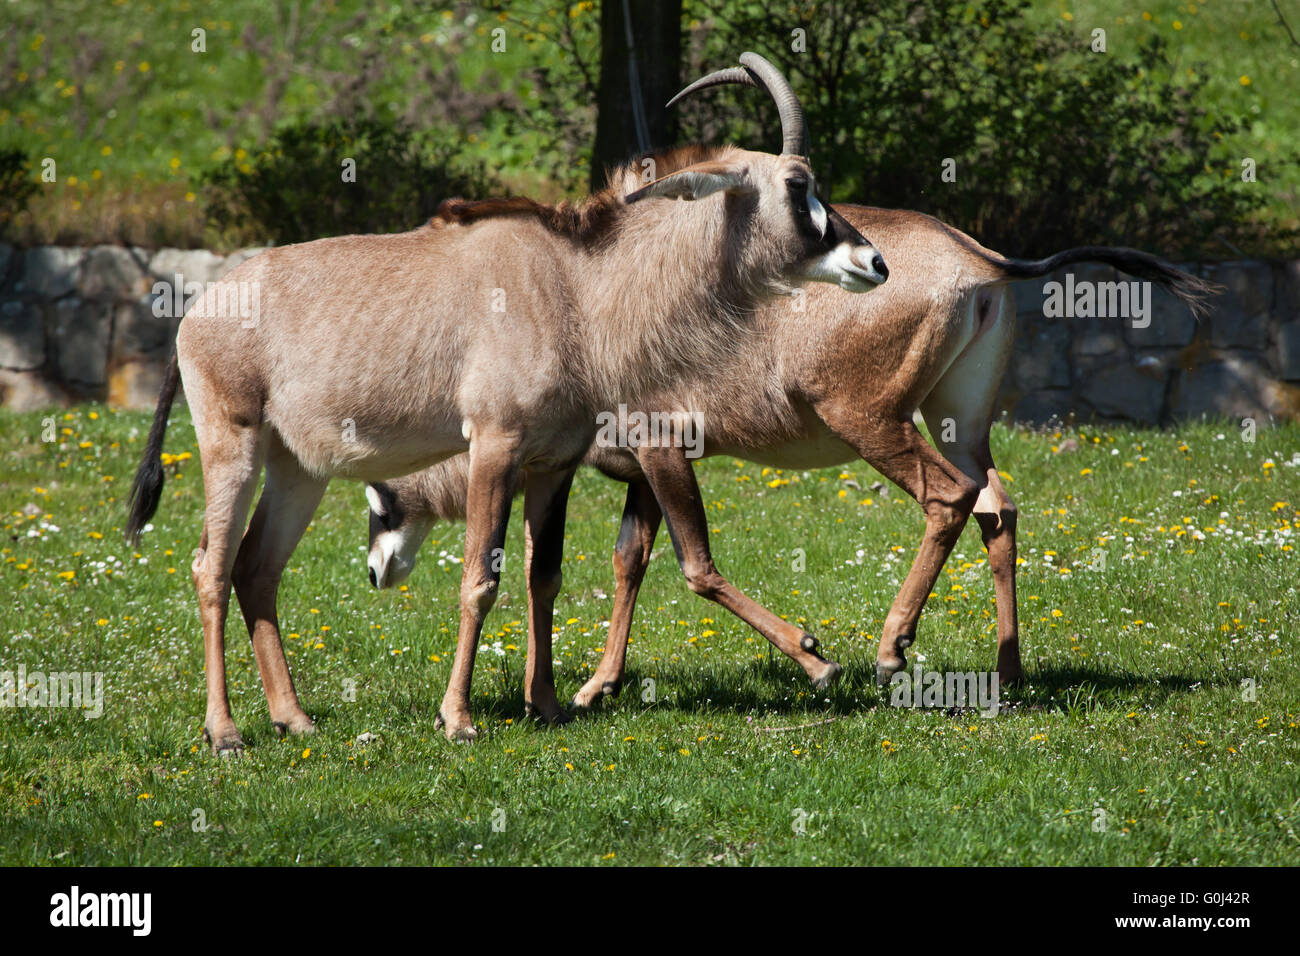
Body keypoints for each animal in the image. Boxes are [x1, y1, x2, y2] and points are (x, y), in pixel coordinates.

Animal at [124, 53, 888, 753]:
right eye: (798, 186)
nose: (875, 262)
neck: (576, 286)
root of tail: (198, 310)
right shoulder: (494, 445)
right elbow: (478, 582)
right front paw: (458, 718)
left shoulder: (553, 465)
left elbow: (541, 577)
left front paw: (546, 704)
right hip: (232, 442)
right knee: (210, 566)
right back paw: (225, 731)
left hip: (298, 469)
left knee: (257, 568)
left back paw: (294, 718)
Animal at [366, 203, 1213, 710]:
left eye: (376, 497)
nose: (374, 573)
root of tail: (982, 262)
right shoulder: (645, 468)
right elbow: (630, 561)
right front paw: (597, 687)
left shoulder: (665, 448)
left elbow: (696, 566)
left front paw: (815, 658)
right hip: (958, 422)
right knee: (996, 507)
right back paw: (1007, 677)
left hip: (871, 420)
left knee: (948, 499)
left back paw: (890, 650)